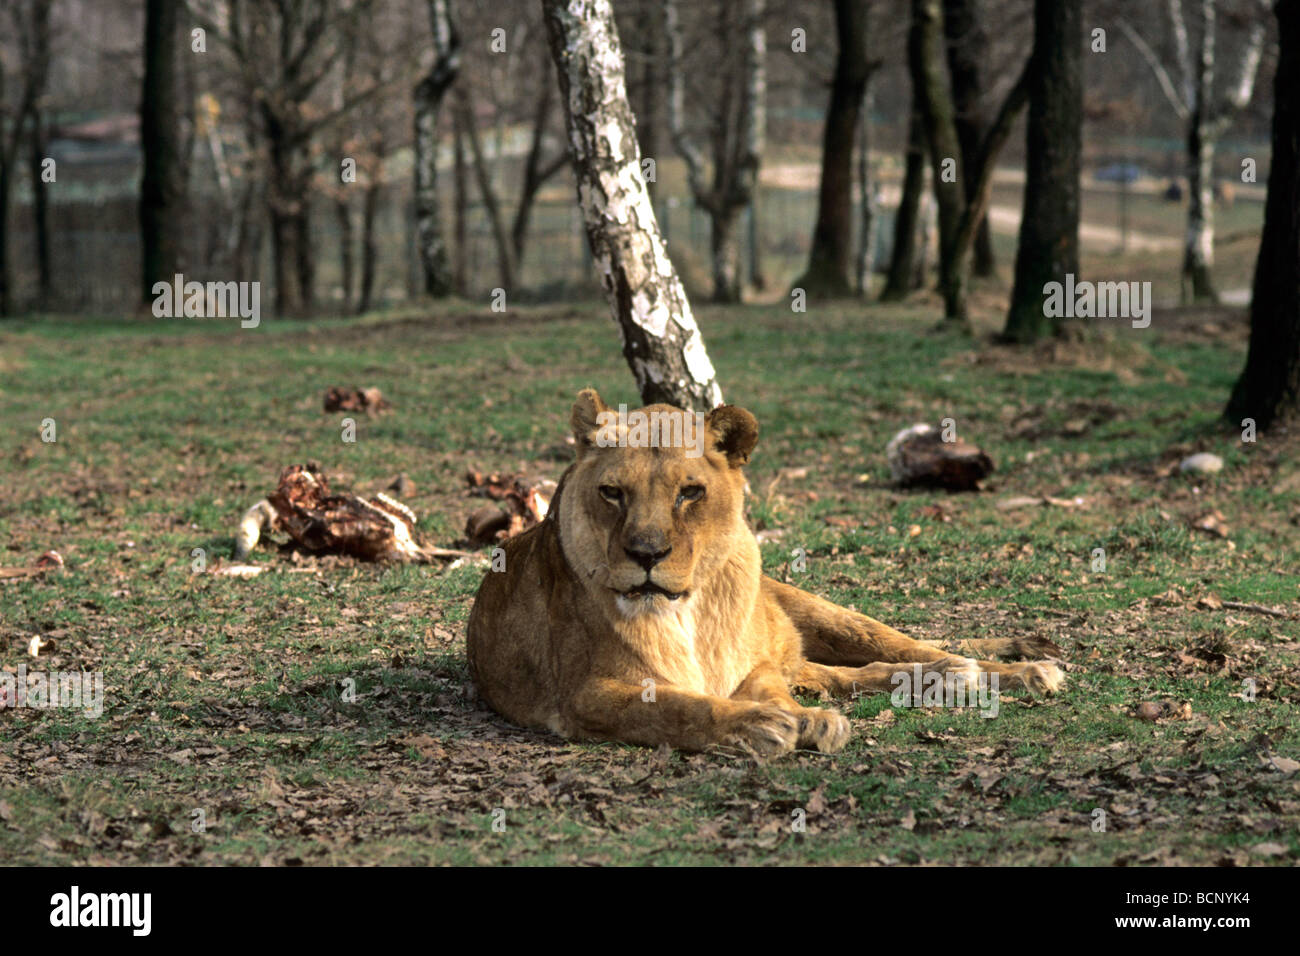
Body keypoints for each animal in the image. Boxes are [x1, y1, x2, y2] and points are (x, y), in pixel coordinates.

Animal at [467, 389, 1064, 757]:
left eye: (689, 493)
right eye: (612, 493)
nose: (646, 554)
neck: (684, 607)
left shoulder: (752, 664)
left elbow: (766, 692)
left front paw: (800, 721)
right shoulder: (584, 694)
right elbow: (675, 708)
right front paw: (761, 724)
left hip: (820, 612)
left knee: (902, 648)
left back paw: (1015, 671)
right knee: (849, 675)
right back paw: (946, 679)